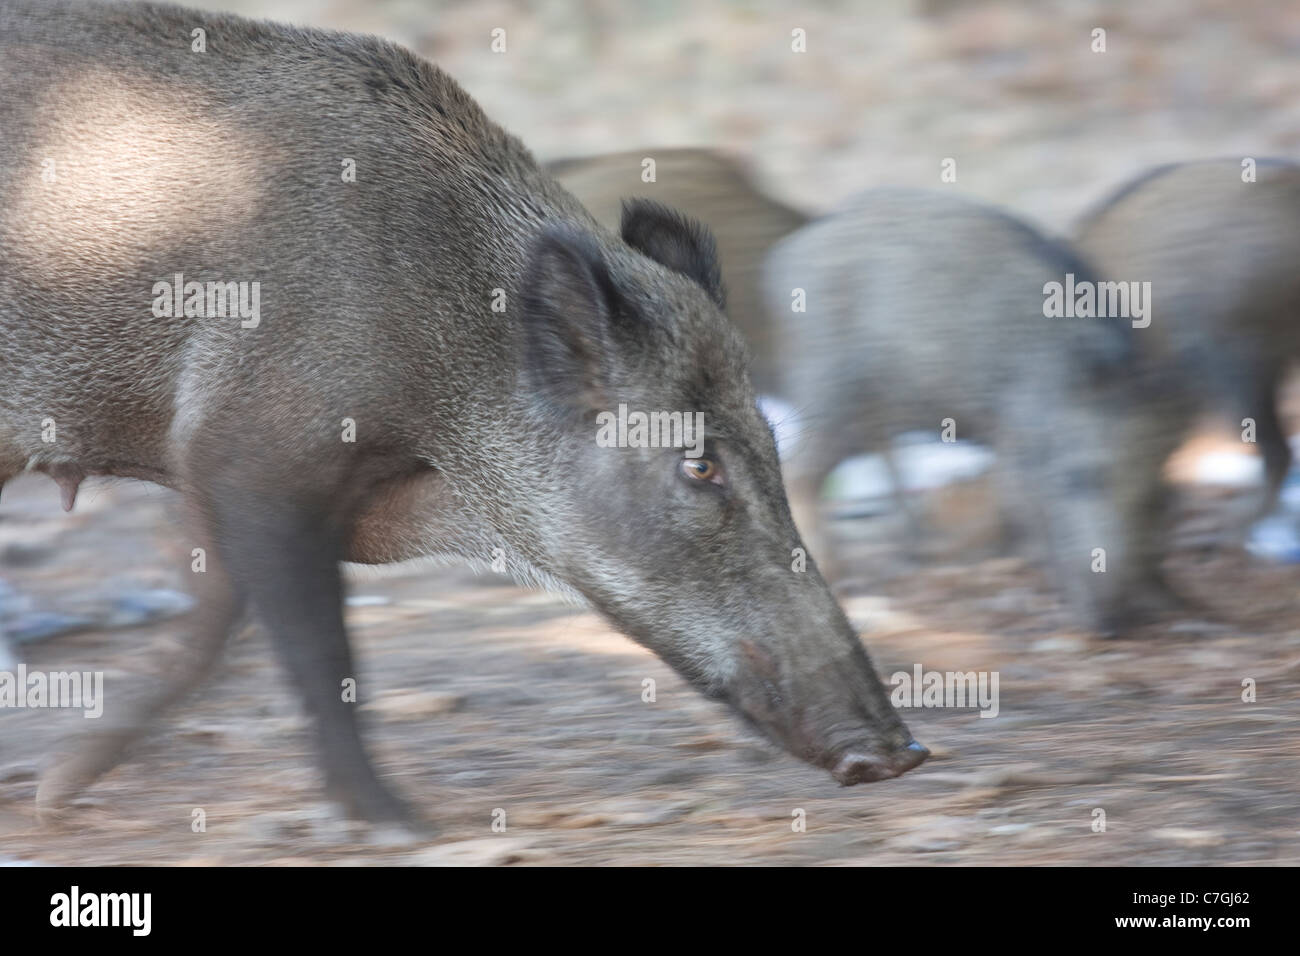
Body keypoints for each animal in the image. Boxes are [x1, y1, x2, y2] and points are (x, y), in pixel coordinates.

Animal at [762, 188, 1187, 634]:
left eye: (1156, 499)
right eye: (1079, 478)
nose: (1113, 623)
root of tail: (783, 256)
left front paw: (1176, 601)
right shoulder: (1016, 444)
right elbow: (1025, 508)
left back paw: (917, 544)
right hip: (830, 389)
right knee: (803, 471)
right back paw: (837, 572)